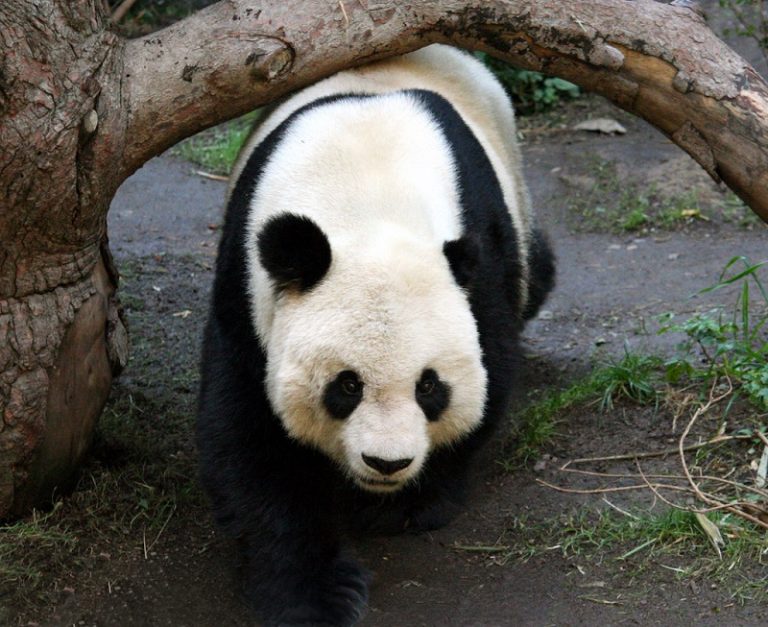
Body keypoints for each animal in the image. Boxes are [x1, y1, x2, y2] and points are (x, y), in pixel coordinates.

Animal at [197, 45, 555, 626]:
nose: (387, 464)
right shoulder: (248, 285)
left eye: (429, 386)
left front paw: (403, 505)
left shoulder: (481, 257)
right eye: (347, 385)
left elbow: (493, 369)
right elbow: (250, 433)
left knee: (539, 271)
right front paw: (311, 596)